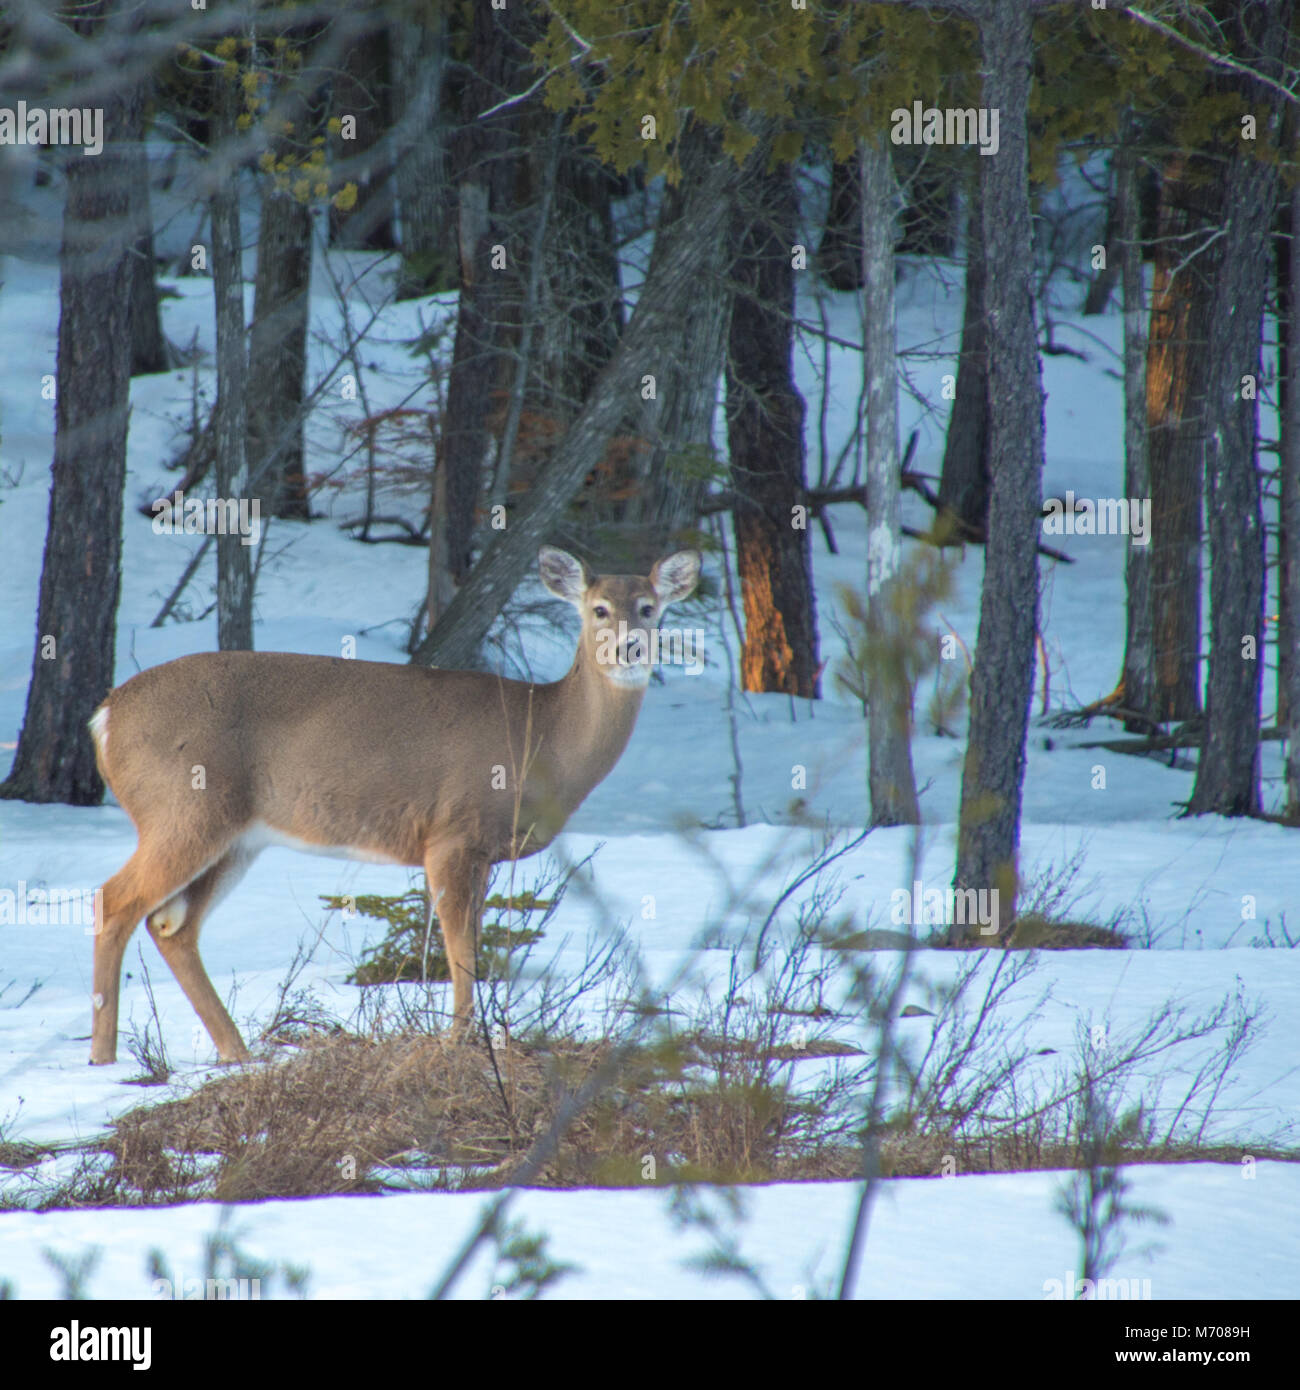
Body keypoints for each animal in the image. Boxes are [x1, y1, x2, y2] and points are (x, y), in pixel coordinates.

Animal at [86, 546, 701, 1065]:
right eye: (599, 609)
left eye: (648, 608)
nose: (629, 647)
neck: (542, 737)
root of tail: (106, 716)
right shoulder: (451, 833)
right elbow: (460, 949)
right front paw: (460, 1041)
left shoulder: (482, 851)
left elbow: (473, 942)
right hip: (182, 807)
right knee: (115, 900)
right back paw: (105, 1059)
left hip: (236, 836)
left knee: (171, 925)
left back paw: (237, 1053)